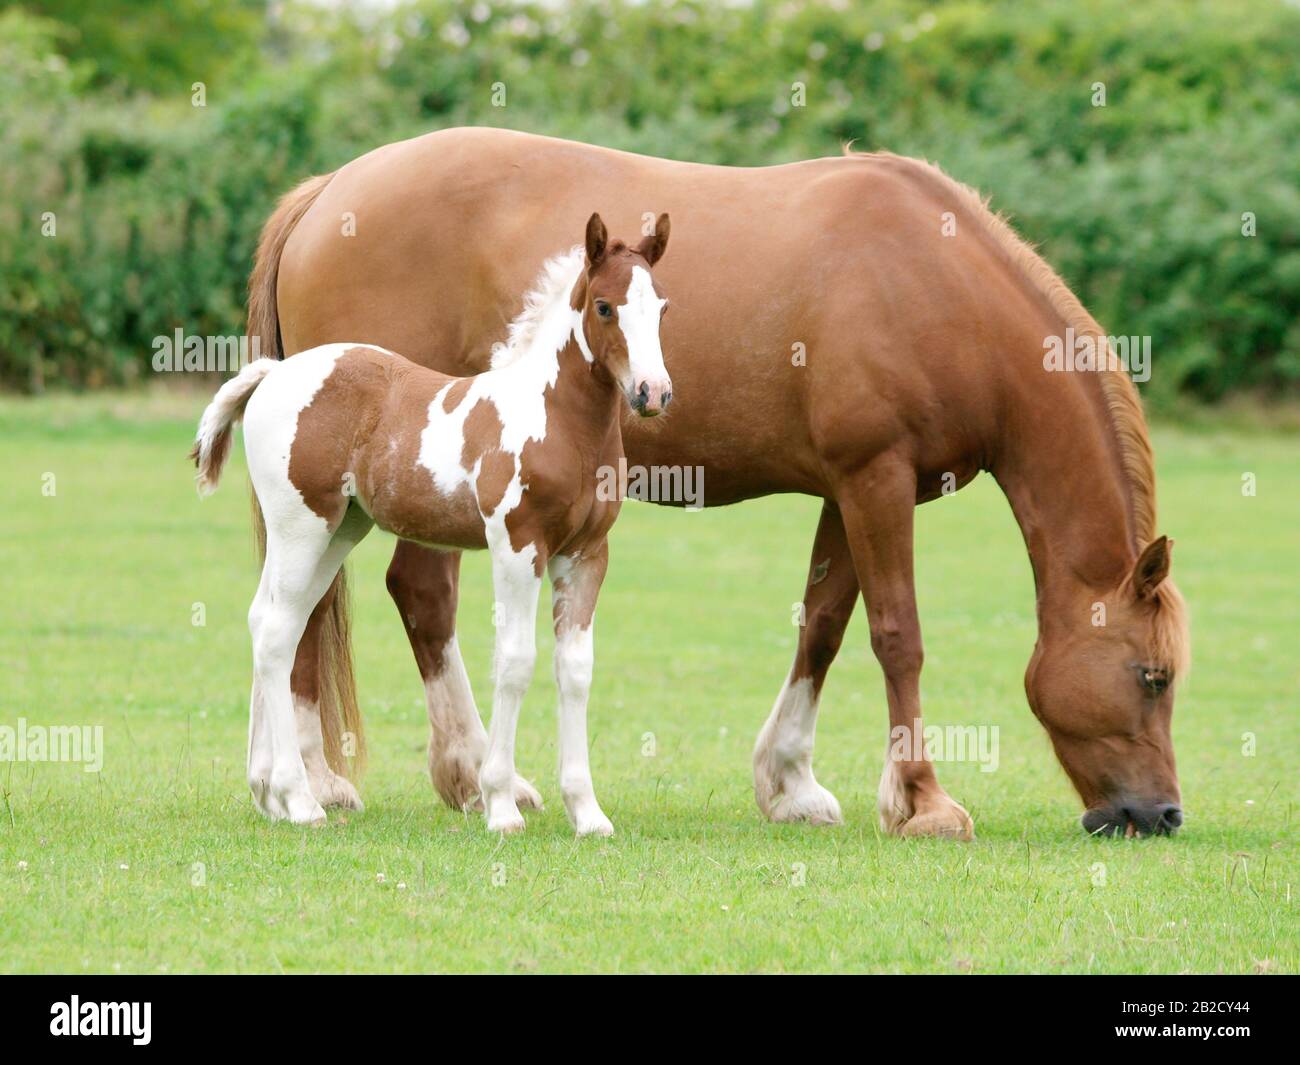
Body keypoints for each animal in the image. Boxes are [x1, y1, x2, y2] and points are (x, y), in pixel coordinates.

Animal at [192, 212, 672, 833]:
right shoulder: (517, 546)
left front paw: (587, 813)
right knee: (277, 632)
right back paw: (301, 801)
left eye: (661, 306)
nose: (652, 393)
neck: (555, 419)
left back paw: (271, 795)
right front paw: (500, 805)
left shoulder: (586, 552)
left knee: (272, 621)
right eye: (606, 306)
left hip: (337, 532)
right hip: (303, 527)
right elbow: (515, 663)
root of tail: (273, 374)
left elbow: (575, 669)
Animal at [251, 128, 1190, 839]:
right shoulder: (877, 479)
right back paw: (377, 778)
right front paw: (921, 798)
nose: (1162, 814)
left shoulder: (850, 489)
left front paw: (790, 781)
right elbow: (897, 634)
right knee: (367, 604)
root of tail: (329, 190)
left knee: (342, 605)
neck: (934, 285)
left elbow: (824, 624)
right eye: (1153, 676)